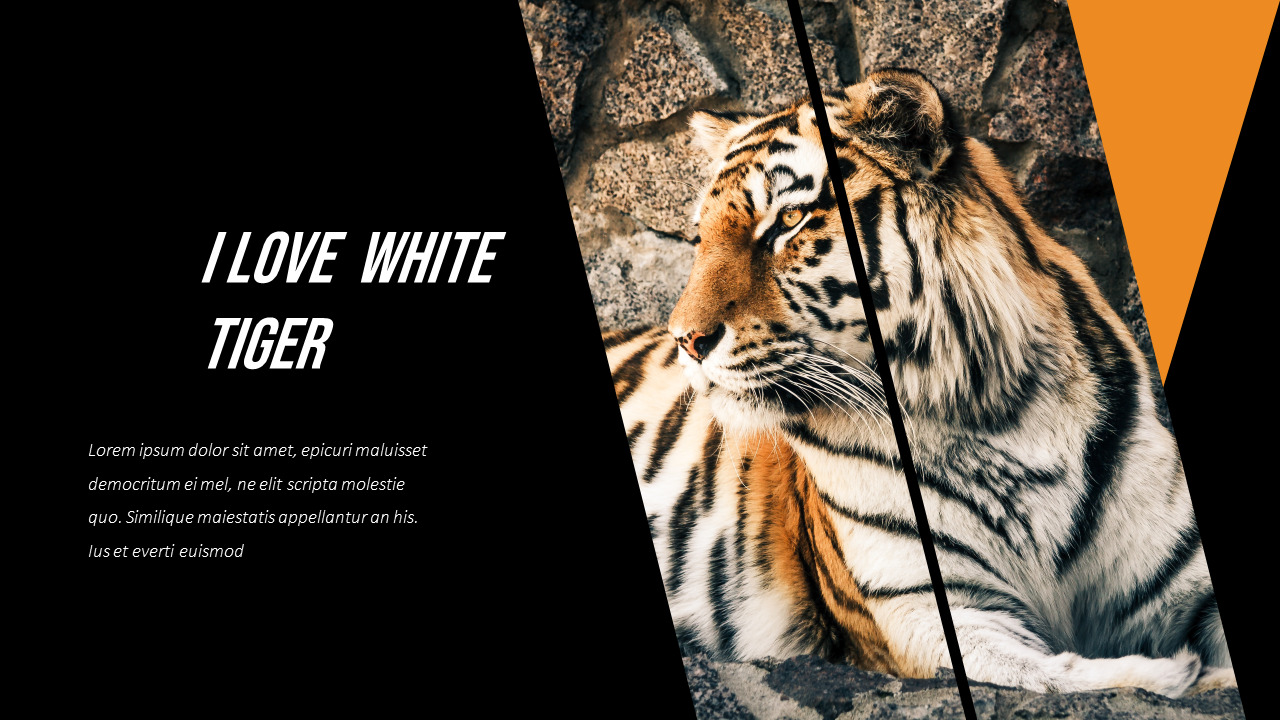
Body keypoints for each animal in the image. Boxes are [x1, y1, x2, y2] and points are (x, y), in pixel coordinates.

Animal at [605, 69, 1233, 696]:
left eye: (787, 222)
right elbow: (1054, 674)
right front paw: (1175, 673)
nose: (686, 339)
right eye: (699, 238)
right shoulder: (928, 610)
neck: (997, 410)